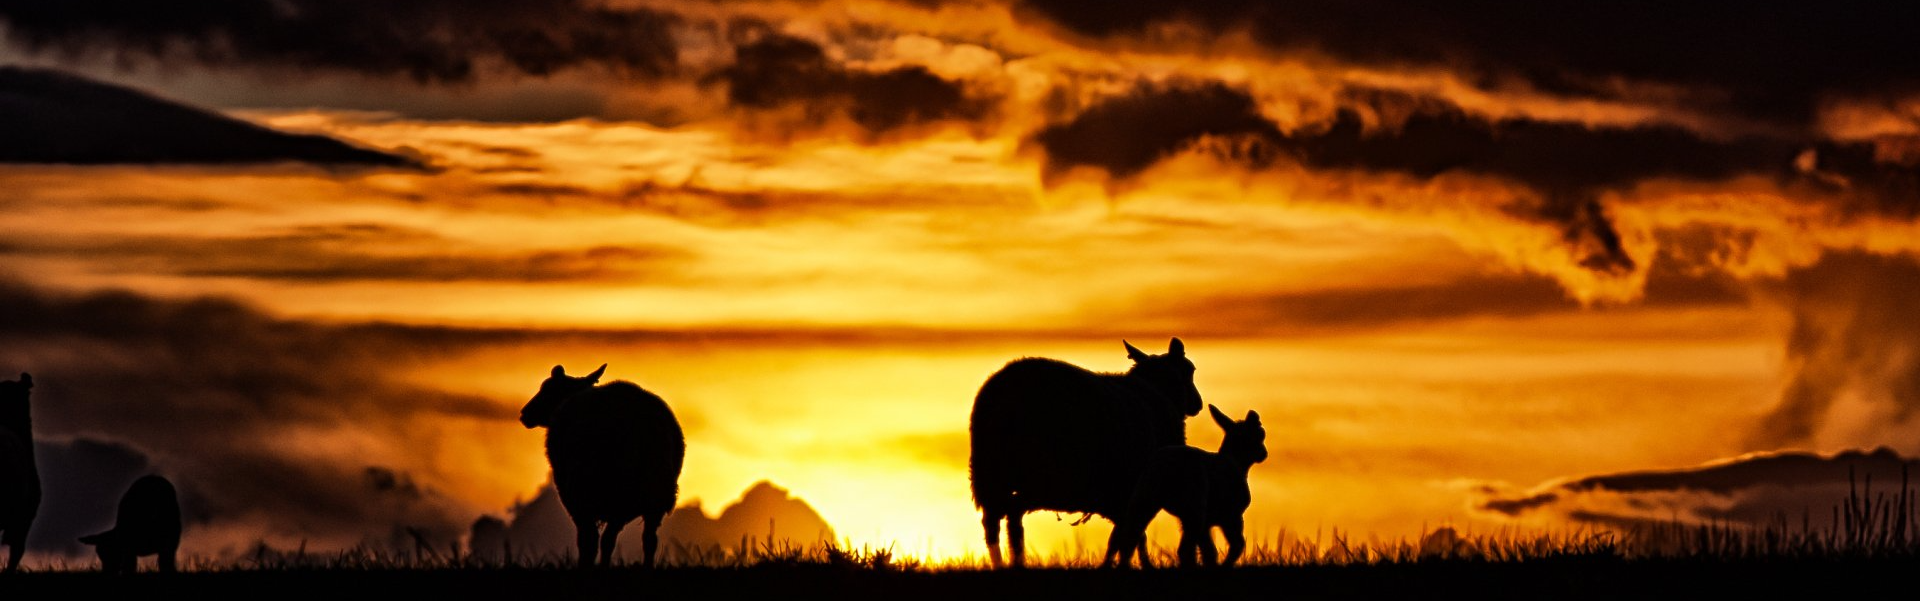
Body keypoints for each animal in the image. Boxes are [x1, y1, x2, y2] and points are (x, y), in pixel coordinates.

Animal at [519, 363, 685, 568]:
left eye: (548, 388)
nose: (524, 414)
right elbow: (608, 541)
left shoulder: (575, 498)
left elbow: (588, 541)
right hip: (653, 494)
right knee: (648, 540)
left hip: (597, 487)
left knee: (592, 539)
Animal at [970, 338, 1203, 568]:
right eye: (1190, 369)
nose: (1198, 405)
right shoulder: (1132, 490)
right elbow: (1129, 536)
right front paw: (1137, 565)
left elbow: (1124, 537)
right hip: (1043, 474)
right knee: (1013, 514)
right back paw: (1017, 560)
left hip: (992, 475)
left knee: (992, 524)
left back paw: (1001, 563)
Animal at [1104, 404, 1268, 569]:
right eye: (1260, 435)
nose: (1264, 454)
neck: (1235, 461)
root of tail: (1166, 463)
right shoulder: (1232, 516)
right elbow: (1236, 545)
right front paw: (1224, 566)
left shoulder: (1204, 524)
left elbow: (1209, 550)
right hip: (1195, 506)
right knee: (1184, 548)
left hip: (1145, 497)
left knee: (1129, 535)